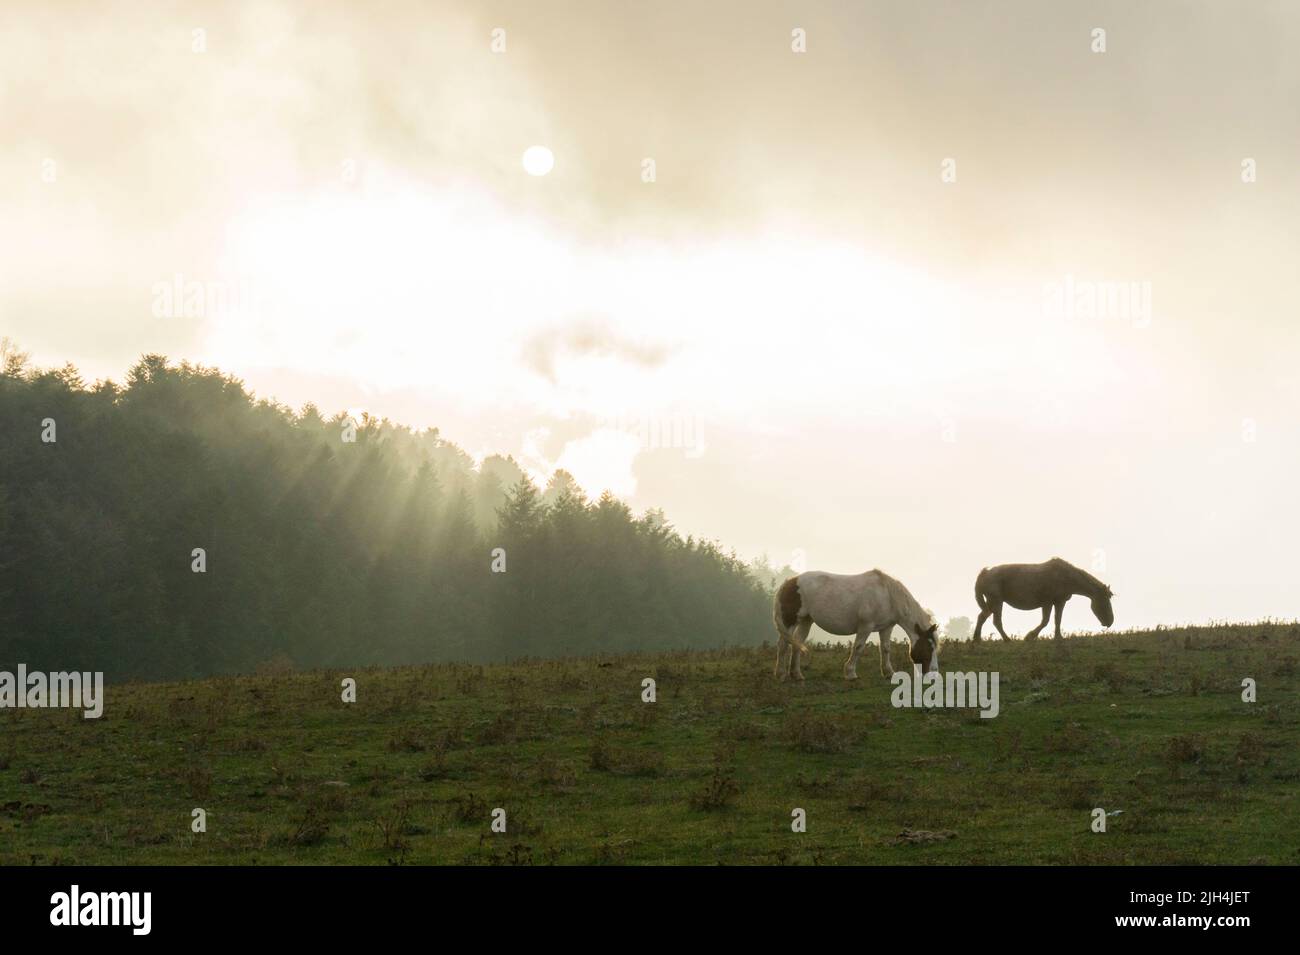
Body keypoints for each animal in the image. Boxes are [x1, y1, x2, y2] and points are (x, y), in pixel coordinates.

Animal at [773, 570, 939, 682]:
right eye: (929, 647)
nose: (933, 673)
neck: (886, 595)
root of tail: (790, 581)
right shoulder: (866, 626)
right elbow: (858, 647)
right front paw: (850, 673)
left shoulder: (886, 628)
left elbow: (886, 649)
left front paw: (889, 673)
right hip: (790, 621)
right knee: (783, 644)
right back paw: (781, 674)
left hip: (806, 621)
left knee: (797, 643)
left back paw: (797, 675)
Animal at [973, 557, 1114, 641]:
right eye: (1104, 601)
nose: (1110, 622)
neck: (1065, 577)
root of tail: (985, 572)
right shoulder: (1047, 603)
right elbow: (1045, 621)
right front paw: (1030, 636)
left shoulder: (1060, 602)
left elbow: (1057, 620)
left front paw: (1058, 637)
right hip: (996, 601)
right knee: (996, 621)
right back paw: (1007, 640)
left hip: (992, 602)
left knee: (982, 617)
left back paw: (976, 639)